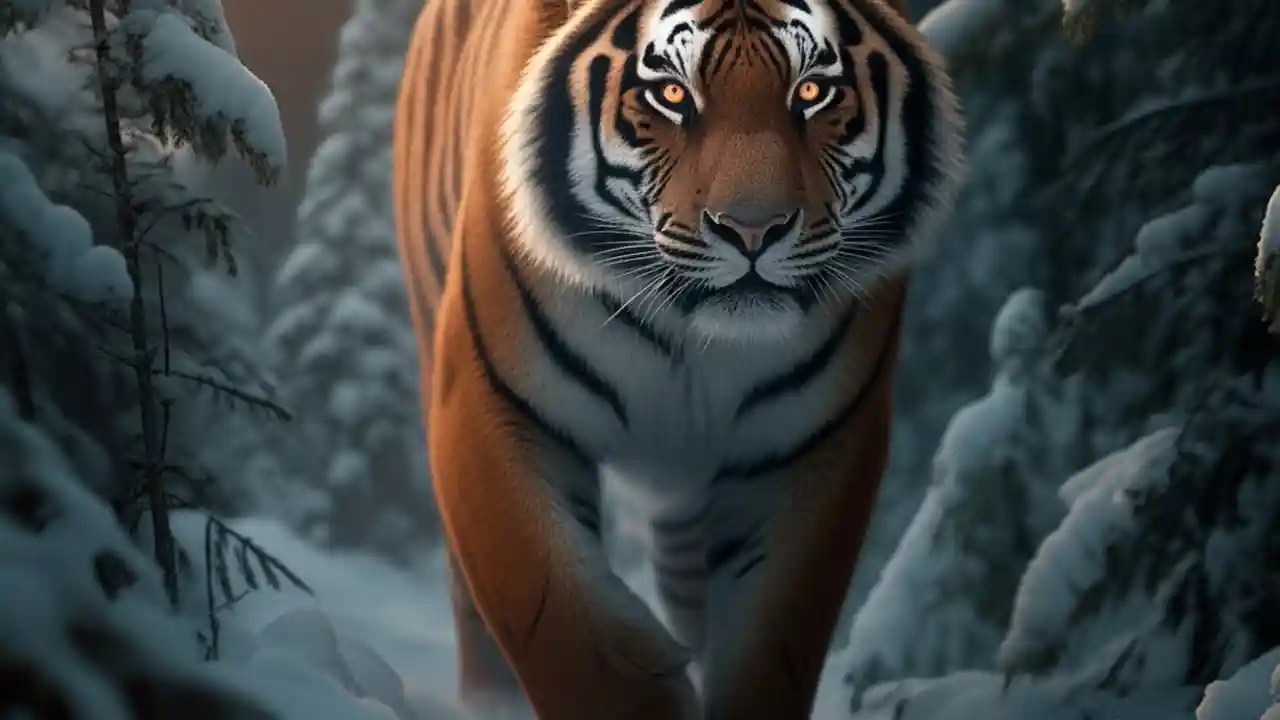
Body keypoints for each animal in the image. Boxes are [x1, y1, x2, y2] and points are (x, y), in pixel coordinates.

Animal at [392, 0, 962, 717]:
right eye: (669, 94)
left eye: (812, 91)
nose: (753, 229)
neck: (690, 338)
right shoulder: (486, 400)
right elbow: (568, 636)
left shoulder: (814, 443)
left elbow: (768, 651)